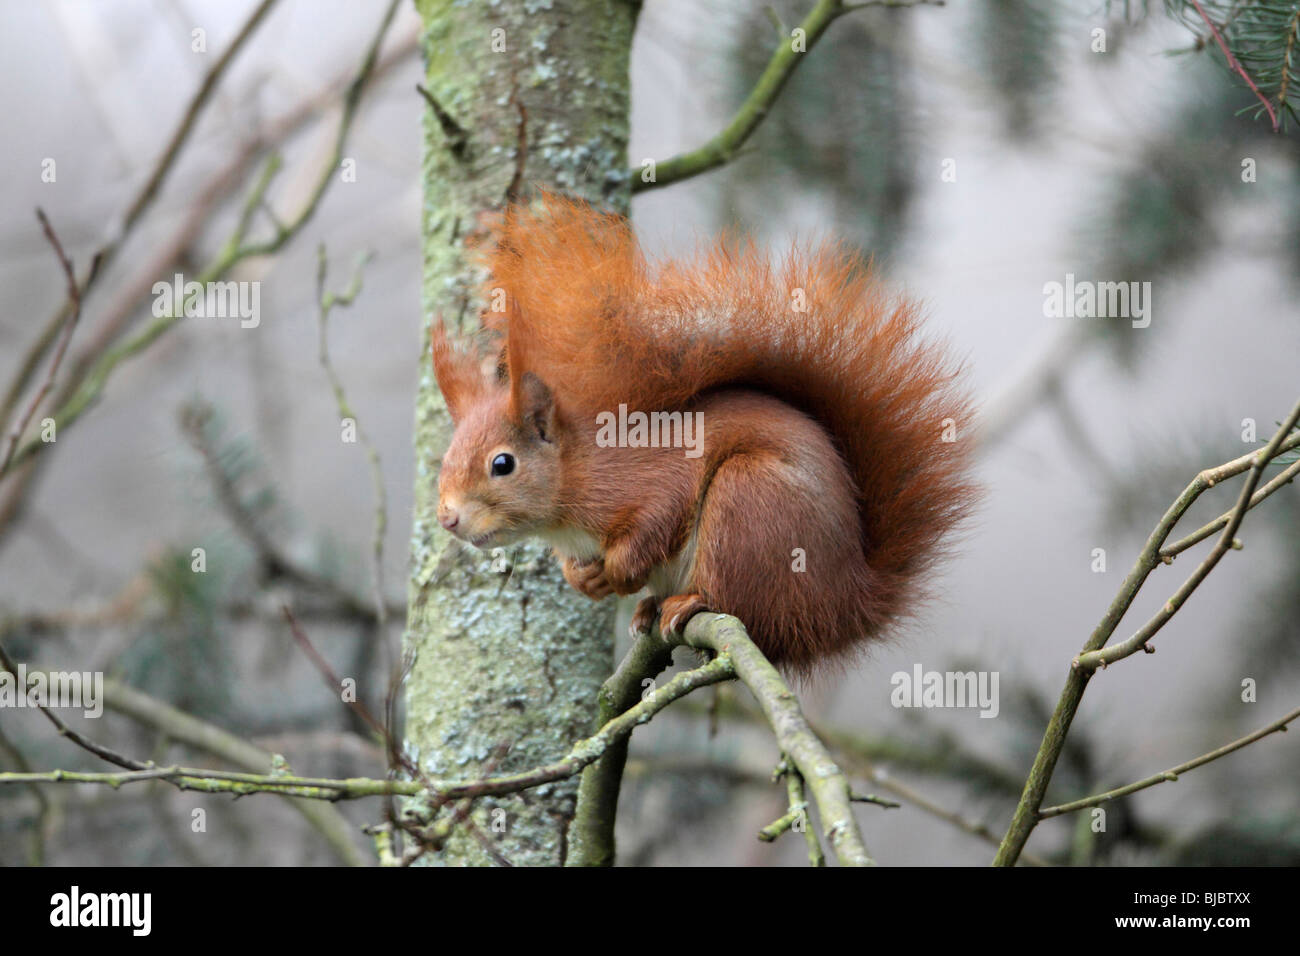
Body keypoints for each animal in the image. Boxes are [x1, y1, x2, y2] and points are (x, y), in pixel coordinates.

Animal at [431, 194, 976, 673]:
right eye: (445, 458)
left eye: (503, 464)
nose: (447, 519)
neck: (572, 480)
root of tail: (847, 606)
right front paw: (581, 577)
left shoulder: (649, 479)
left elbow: (658, 517)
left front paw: (615, 571)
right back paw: (648, 607)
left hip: (750, 503)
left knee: (745, 604)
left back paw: (687, 602)